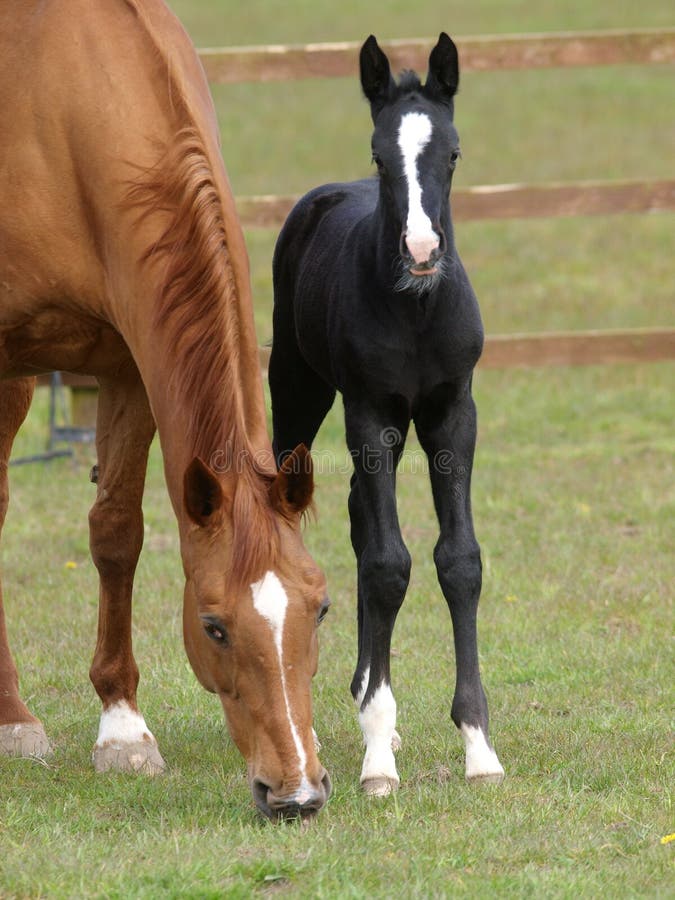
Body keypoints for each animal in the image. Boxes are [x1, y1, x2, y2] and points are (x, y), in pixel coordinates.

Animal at [0, 0, 331, 821]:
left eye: (320, 608)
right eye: (214, 625)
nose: (296, 791)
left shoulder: (129, 363)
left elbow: (116, 534)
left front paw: (122, 728)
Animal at [269, 33, 504, 795]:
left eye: (452, 153)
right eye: (379, 155)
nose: (422, 250)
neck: (416, 311)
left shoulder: (451, 413)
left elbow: (456, 561)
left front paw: (478, 747)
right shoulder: (369, 412)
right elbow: (386, 564)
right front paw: (377, 758)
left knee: (355, 514)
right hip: (300, 392)